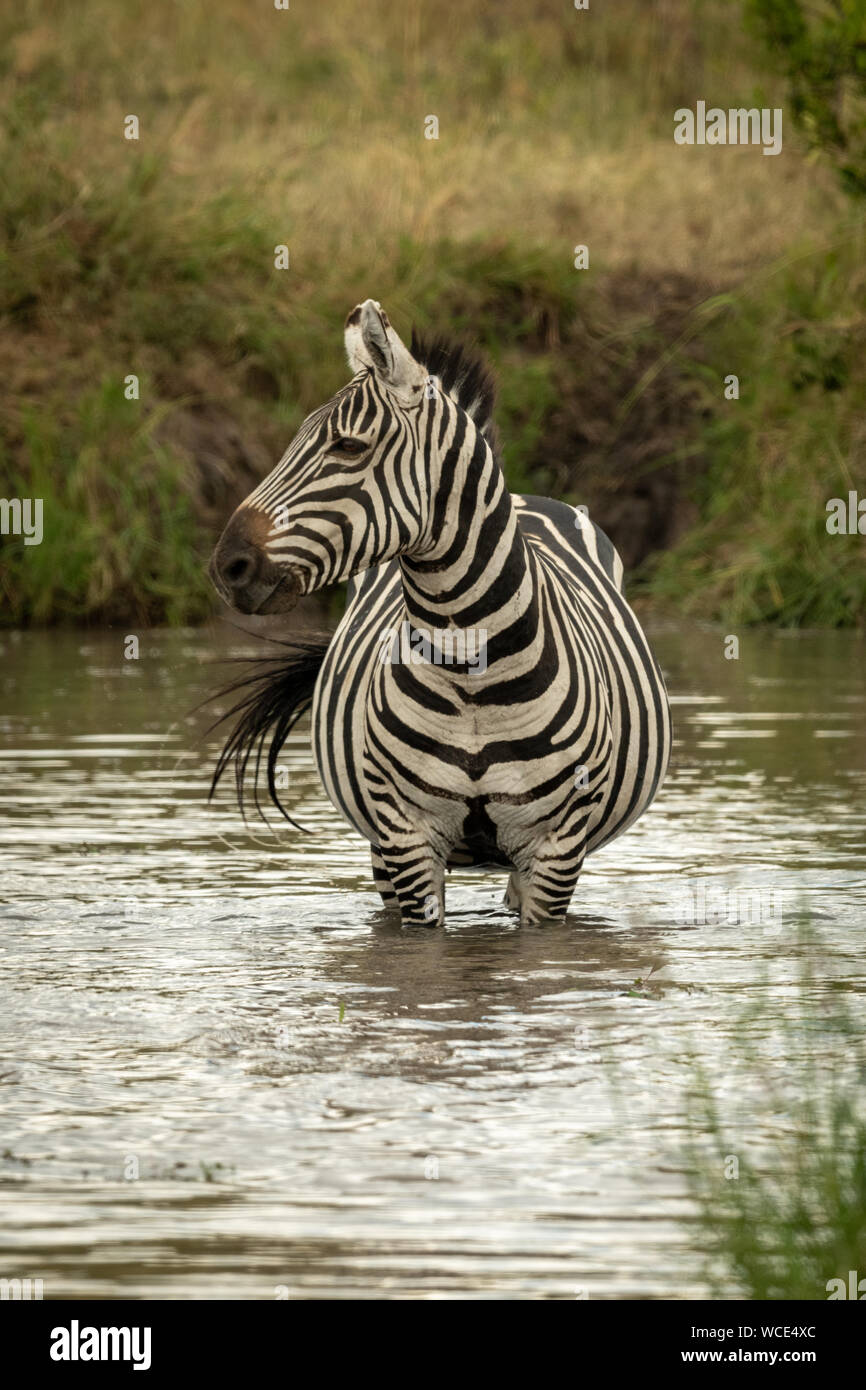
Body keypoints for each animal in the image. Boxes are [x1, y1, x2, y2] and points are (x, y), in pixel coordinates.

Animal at [209, 299, 672, 927]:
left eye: (348, 448)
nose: (226, 566)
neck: (471, 665)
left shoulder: (556, 849)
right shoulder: (406, 836)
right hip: (379, 848)